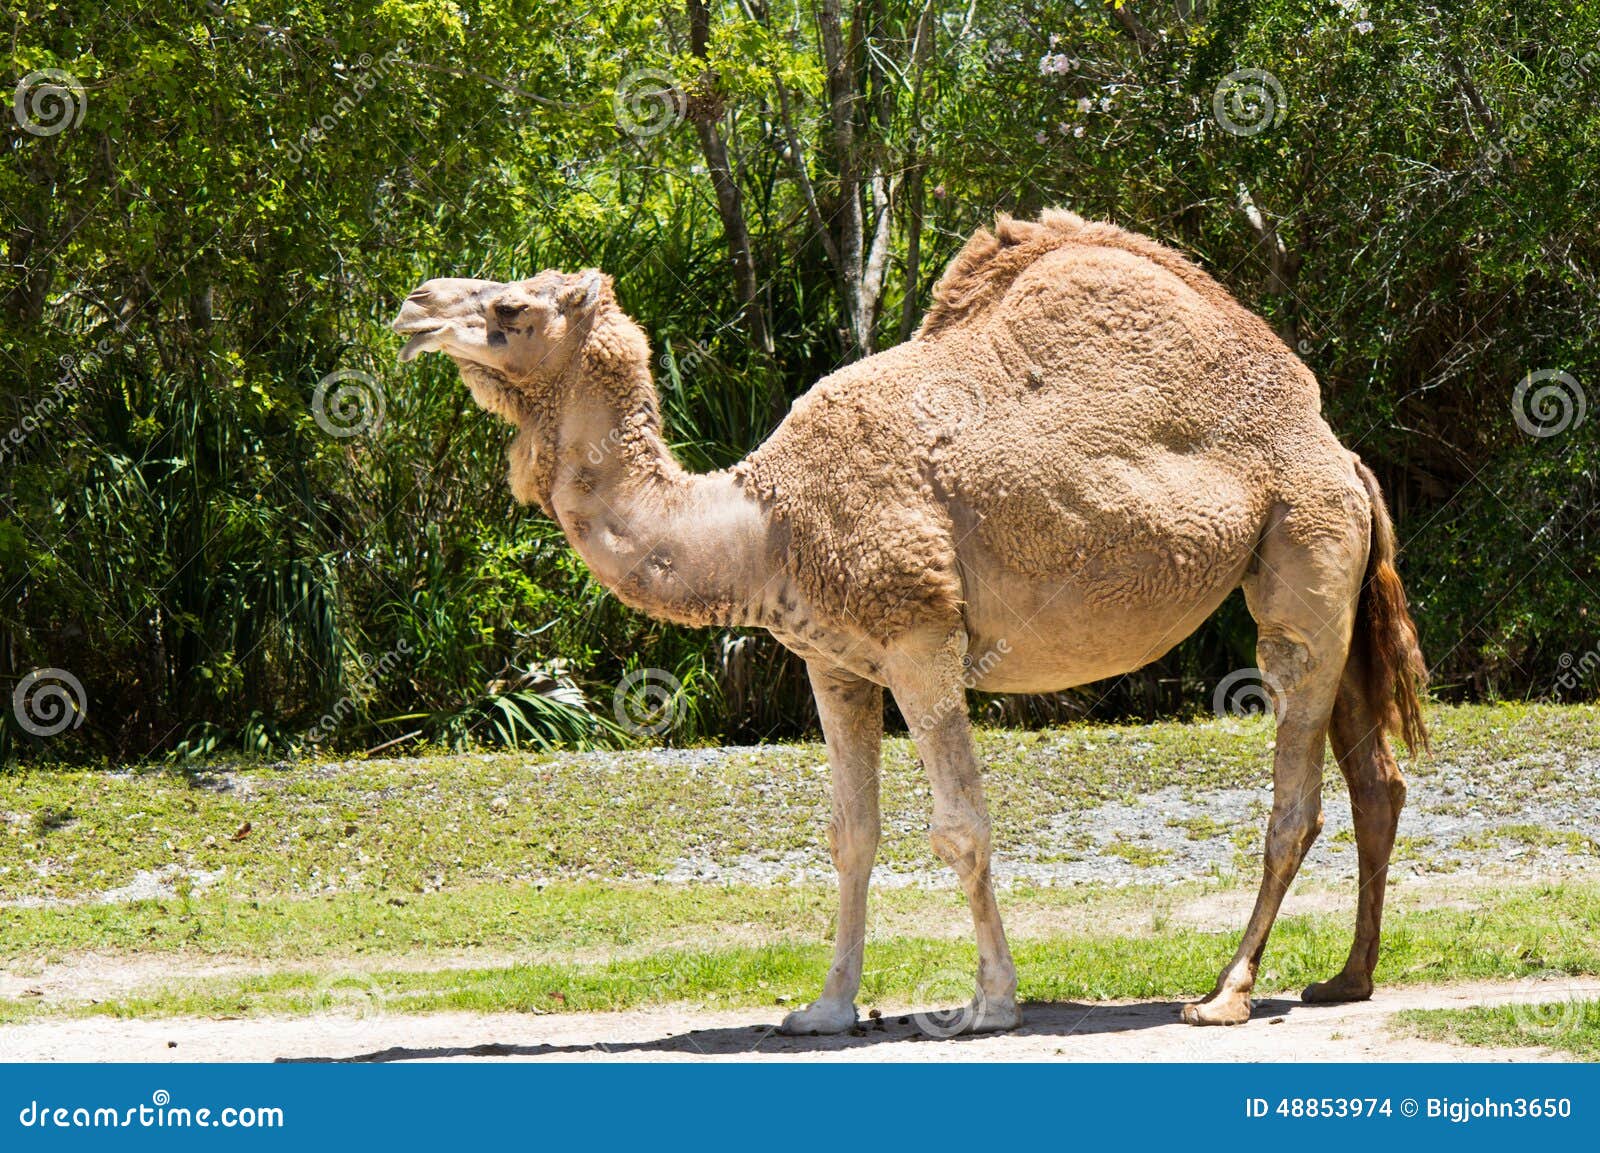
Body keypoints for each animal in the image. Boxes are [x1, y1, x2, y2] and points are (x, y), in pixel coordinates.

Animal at [393, 209, 1427, 1033]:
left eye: (513, 309)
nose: (412, 306)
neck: (766, 522)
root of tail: (1341, 452)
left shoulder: (922, 636)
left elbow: (961, 826)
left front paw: (991, 1001)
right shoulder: (833, 660)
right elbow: (852, 834)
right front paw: (825, 1007)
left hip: (1303, 551)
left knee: (1296, 794)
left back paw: (1225, 992)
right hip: (1327, 584)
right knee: (1375, 778)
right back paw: (1346, 979)